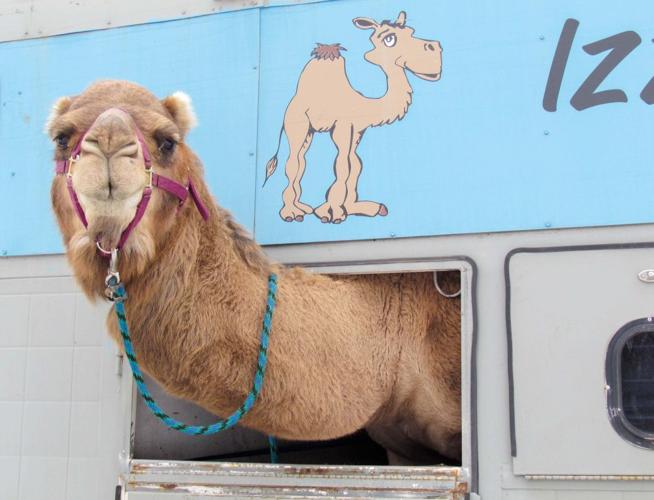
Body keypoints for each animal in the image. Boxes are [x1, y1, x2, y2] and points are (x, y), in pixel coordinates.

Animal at [265, 11, 442, 224]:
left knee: (302, 160)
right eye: (389, 39)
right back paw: (291, 213)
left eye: (411, 31)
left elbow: (355, 164)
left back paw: (303, 207)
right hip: (297, 124)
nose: (435, 49)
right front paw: (334, 213)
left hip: (309, 132)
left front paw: (352, 208)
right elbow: (343, 165)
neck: (362, 104)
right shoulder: (342, 126)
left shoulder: (358, 130)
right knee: (293, 161)